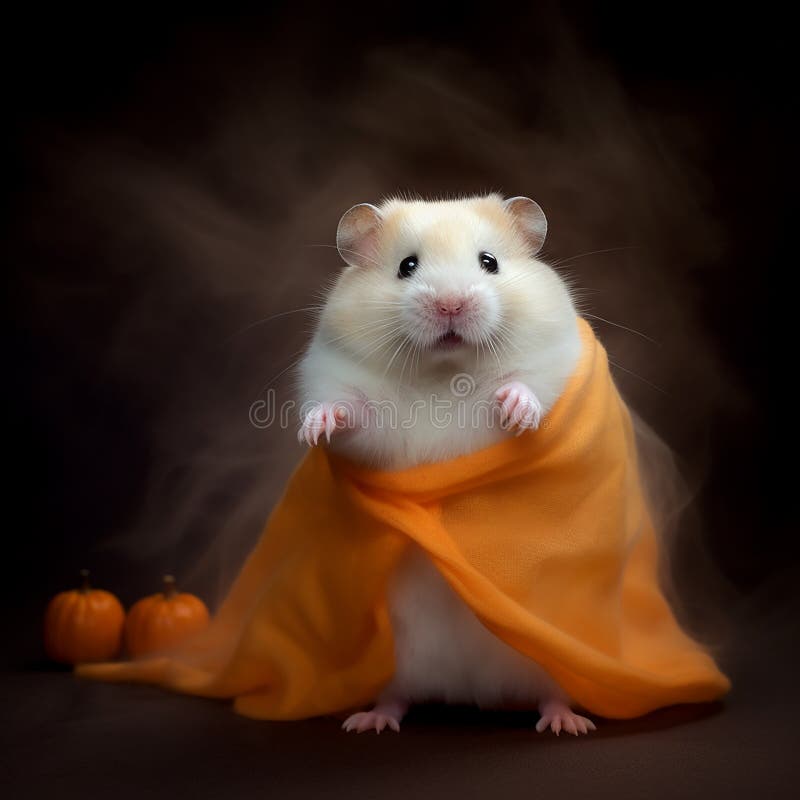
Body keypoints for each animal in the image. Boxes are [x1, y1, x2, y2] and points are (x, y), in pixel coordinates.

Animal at [297, 194, 594, 735]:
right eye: (406, 266)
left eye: (489, 262)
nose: (450, 304)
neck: (446, 371)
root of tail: (469, 690)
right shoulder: (349, 387)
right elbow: (350, 411)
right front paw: (317, 427)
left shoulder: (551, 362)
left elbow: (530, 389)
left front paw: (514, 408)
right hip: (393, 661)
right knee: (397, 697)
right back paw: (370, 721)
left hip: (550, 657)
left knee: (553, 693)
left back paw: (567, 723)